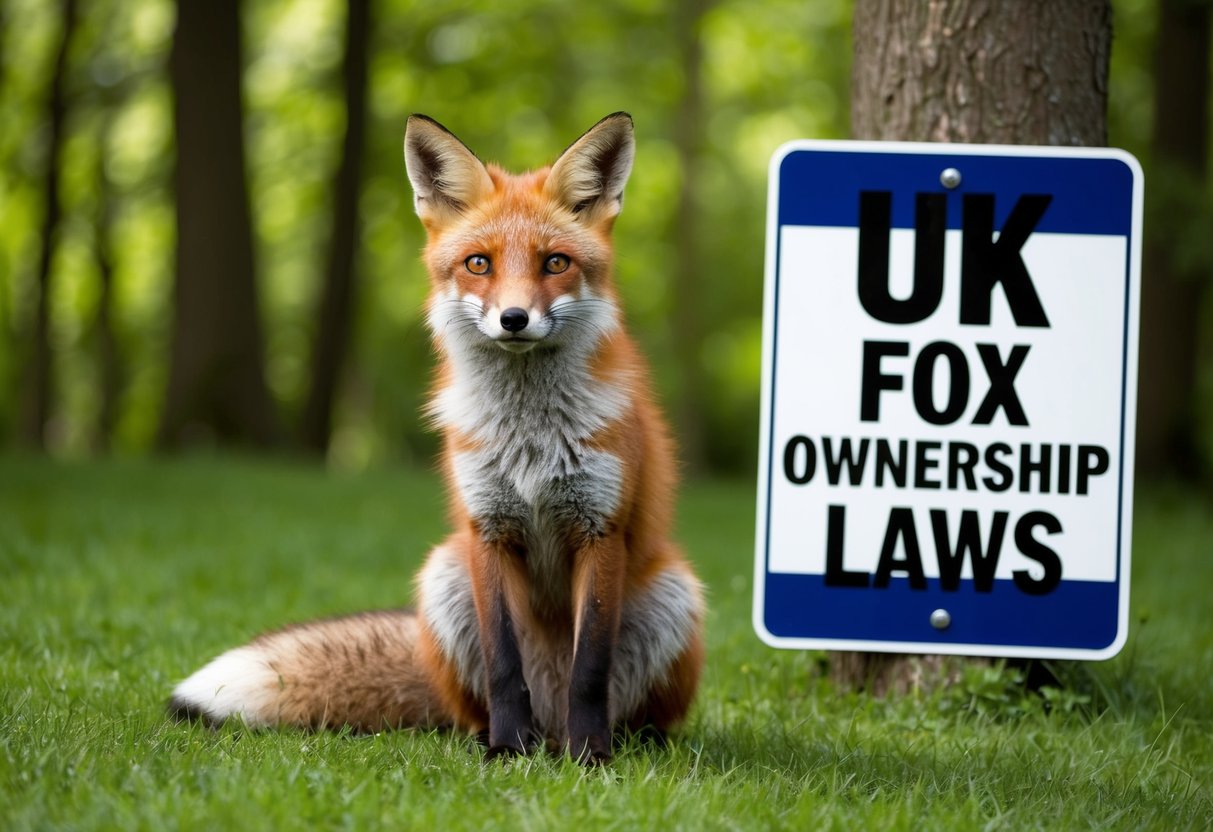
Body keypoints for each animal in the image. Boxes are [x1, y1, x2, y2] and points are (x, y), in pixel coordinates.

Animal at [169, 113, 705, 764]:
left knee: (624, 707)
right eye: (479, 264)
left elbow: (590, 670)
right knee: (479, 703)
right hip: (442, 575)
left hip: (674, 592)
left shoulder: (601, 531)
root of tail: (548, 723)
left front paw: (590, 759)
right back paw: (499, 739)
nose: (514, 319)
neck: (529, 437)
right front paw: (506, 752)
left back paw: (612, 743)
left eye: (555, 263)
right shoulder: (486, 530)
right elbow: (503, 665)